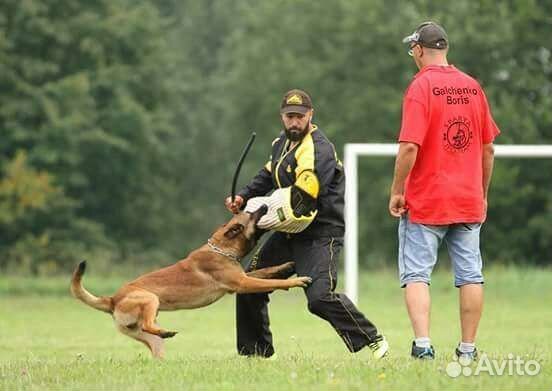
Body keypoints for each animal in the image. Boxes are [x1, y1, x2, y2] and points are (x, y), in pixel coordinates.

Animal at [70, 207, 310, 360]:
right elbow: (271, 281)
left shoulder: (243, 277)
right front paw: (297, 280)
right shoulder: (242, 283)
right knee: (149, 324)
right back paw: (165, 331)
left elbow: (266, 272)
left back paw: (163, 338)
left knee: (155, 344)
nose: (263, 205)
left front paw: (286, 266)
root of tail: (112, 299)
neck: (222, 248)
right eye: (251, 215)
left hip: (149, 334)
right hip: (150, 298)